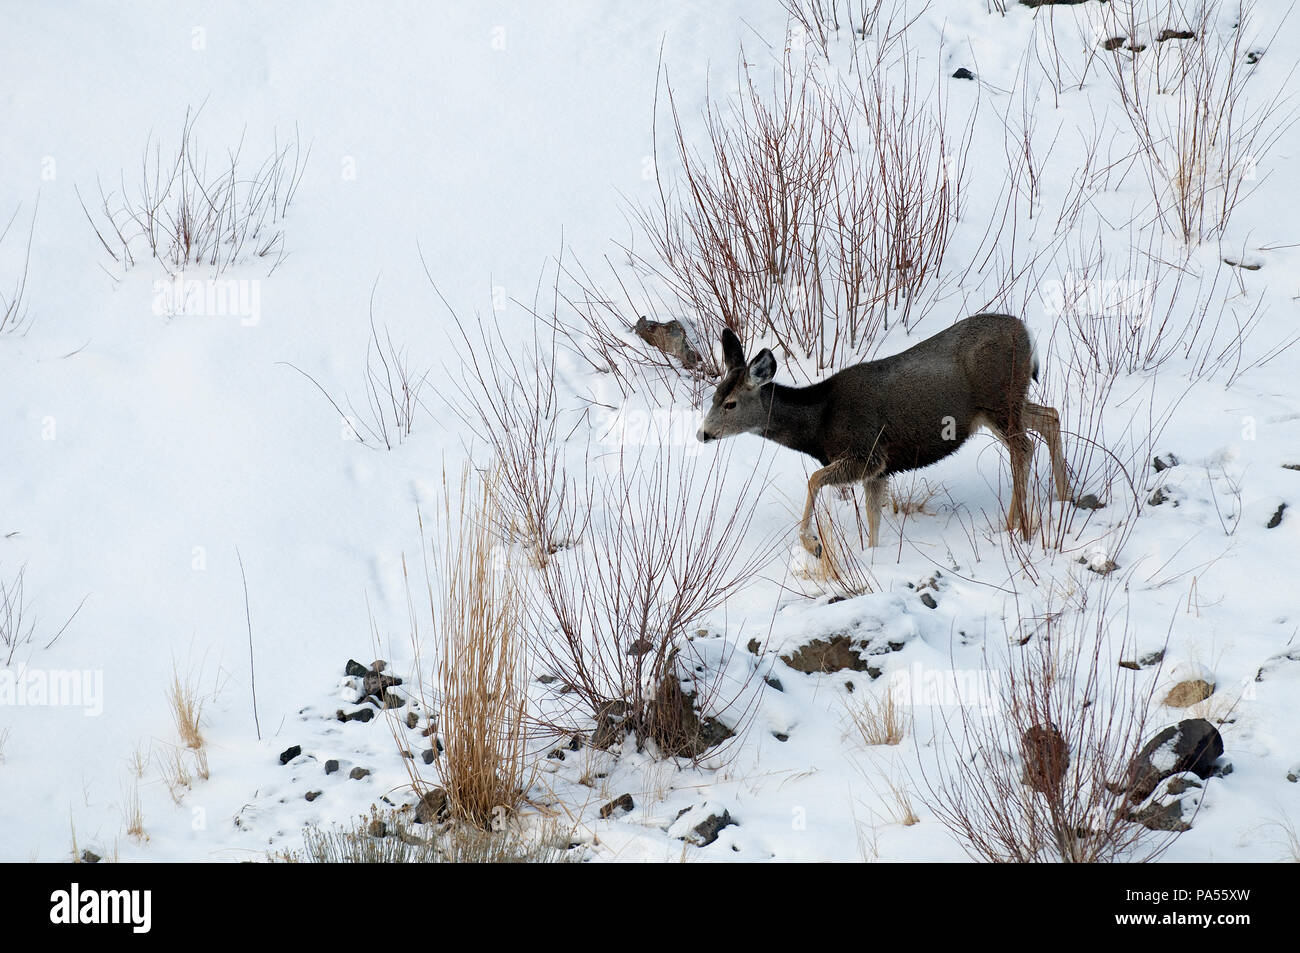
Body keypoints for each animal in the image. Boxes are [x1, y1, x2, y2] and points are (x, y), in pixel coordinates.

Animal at [695, 313, 1070, 555]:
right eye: (712, 396)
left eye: (729, 403)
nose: (702, 433)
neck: (820, 423)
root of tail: (1027, 334)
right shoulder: (878, 470)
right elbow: (874, 517)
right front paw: (874, 556)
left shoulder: (867, 452)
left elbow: (814, 479)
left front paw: (813, 544)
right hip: (1007, 403)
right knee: (1050, 417)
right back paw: (1063, 497)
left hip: (999, 401)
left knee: (1023, 448)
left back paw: (1014, 525)